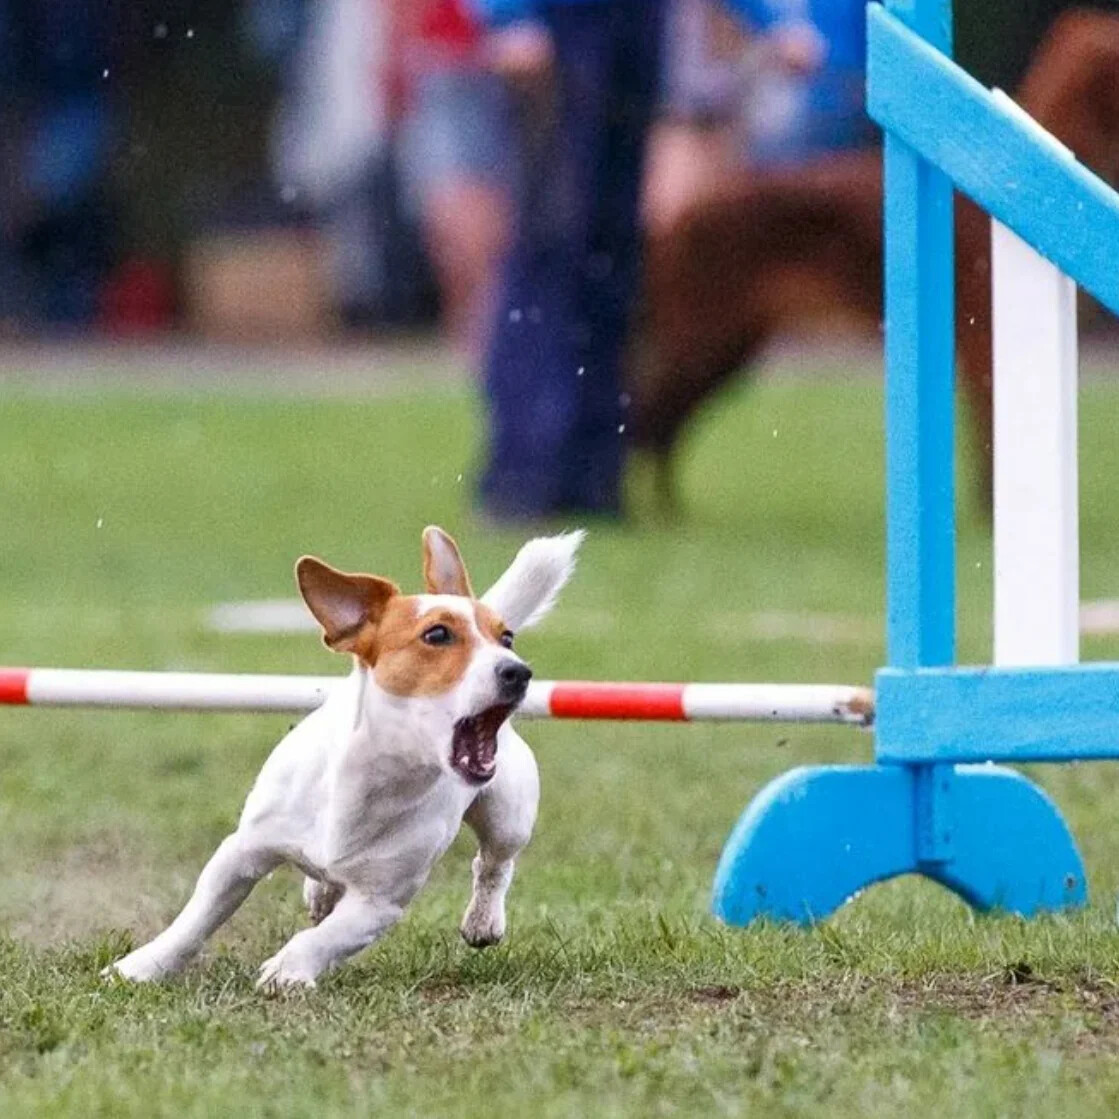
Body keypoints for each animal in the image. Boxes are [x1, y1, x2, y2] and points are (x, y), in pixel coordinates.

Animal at [631, 10, 1119, 510]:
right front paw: (988, 510)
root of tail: (676, 216)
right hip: (700, 340)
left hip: (729, 348)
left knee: (661, 423)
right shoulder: (981, 334)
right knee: (649, 419)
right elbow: (988, 430)